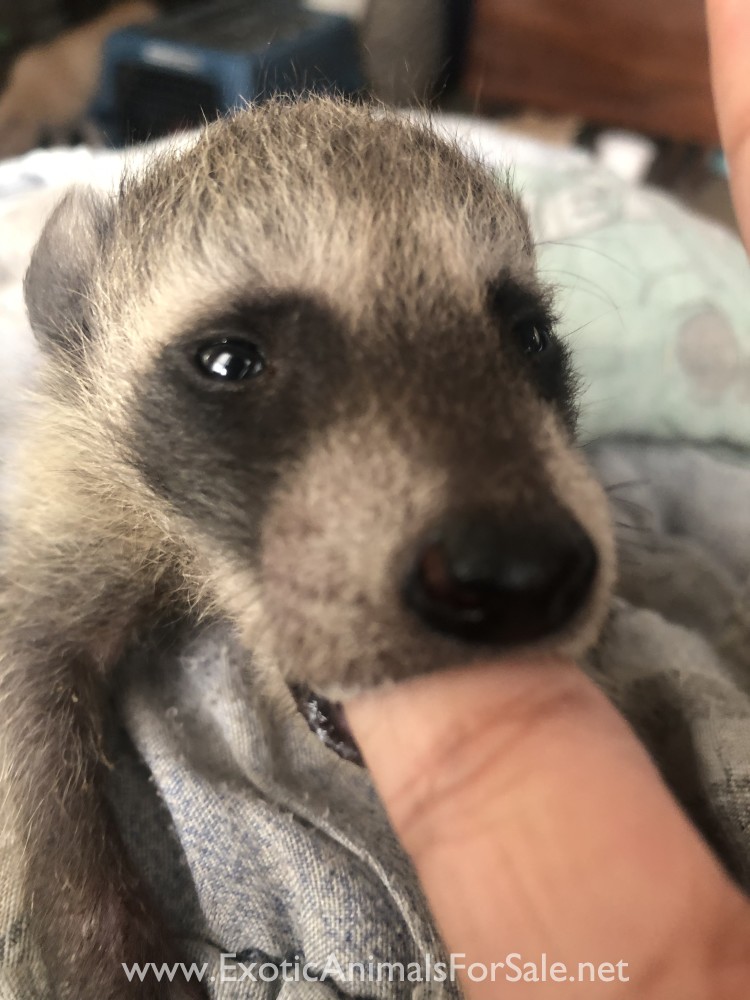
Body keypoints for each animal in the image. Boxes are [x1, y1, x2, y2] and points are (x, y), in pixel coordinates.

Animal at [0, 98, 615, 998]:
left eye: (530, 336)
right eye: (229, 360)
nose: (519, 572)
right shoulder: (74, 490)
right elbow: (26, 671)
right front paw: (95, 946)